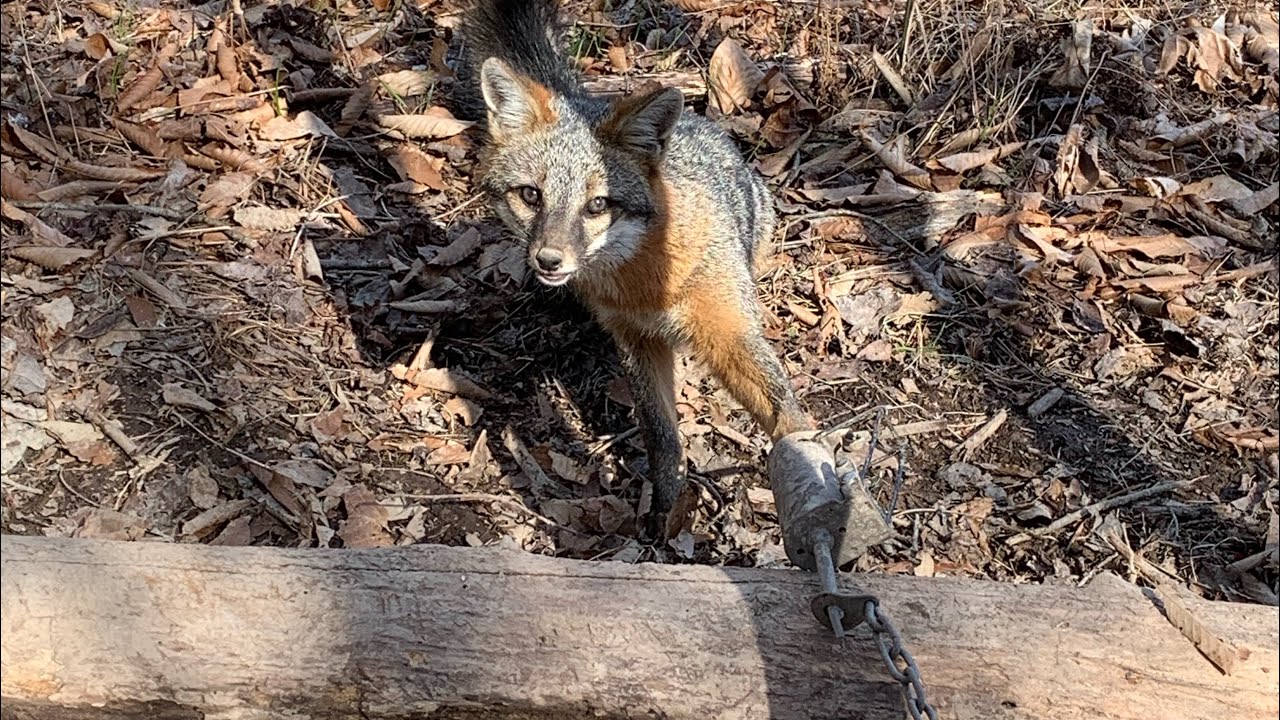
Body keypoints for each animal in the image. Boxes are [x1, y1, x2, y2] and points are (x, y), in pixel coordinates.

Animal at [453, 0, 815, 516]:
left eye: (597, 205)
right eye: (530, 195)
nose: (548, 262)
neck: (646, 284)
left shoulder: (726, 327)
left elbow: (779, 401)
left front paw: (813, 465)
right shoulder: (636, 339)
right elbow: (661, 435)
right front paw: (667, 505)